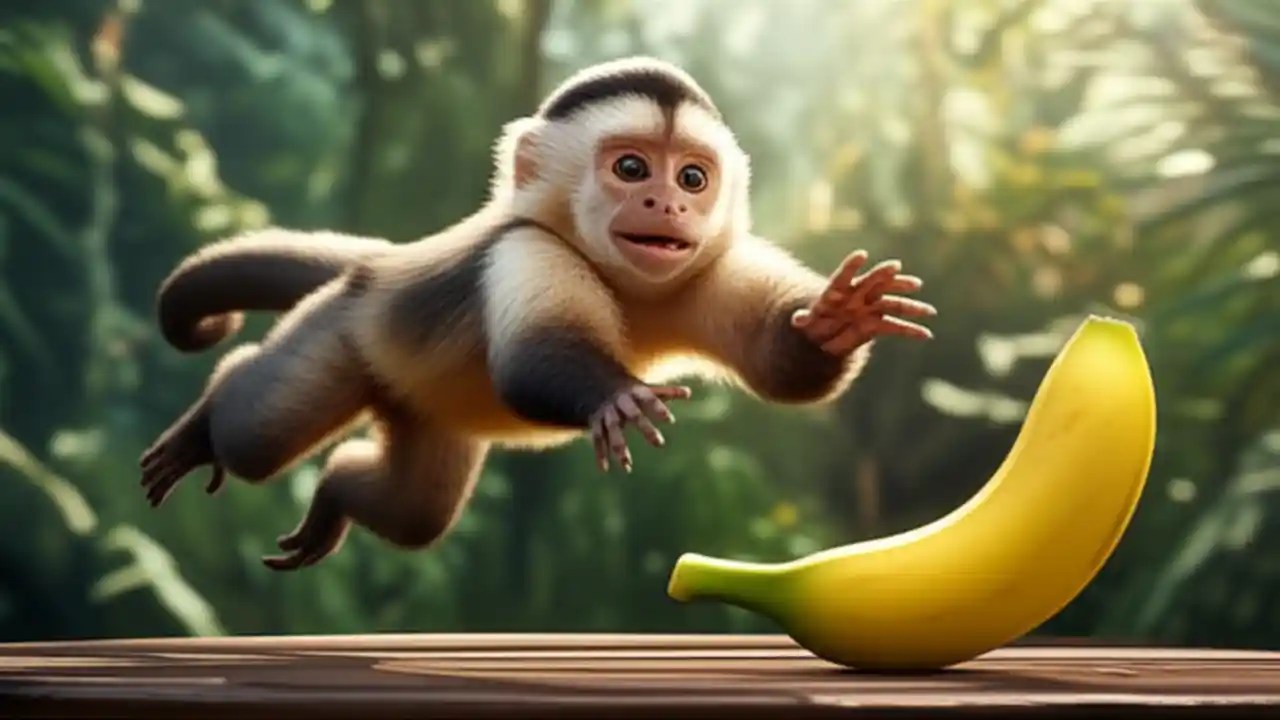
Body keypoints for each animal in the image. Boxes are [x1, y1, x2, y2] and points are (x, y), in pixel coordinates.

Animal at [139, 56, 936, 572]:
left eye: (692, 178)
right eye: (631, 169)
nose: (667, 205)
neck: (625, 283)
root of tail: (381, 265)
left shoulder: (706, 267)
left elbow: (784, 371)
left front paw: (837, 319)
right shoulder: (526, 249)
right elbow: (534, 360)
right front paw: (615, 398)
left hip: (425, 413)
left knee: (416, 512)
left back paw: (335, 496)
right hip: (342, 332)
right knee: (259, 433)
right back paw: (207, 422)